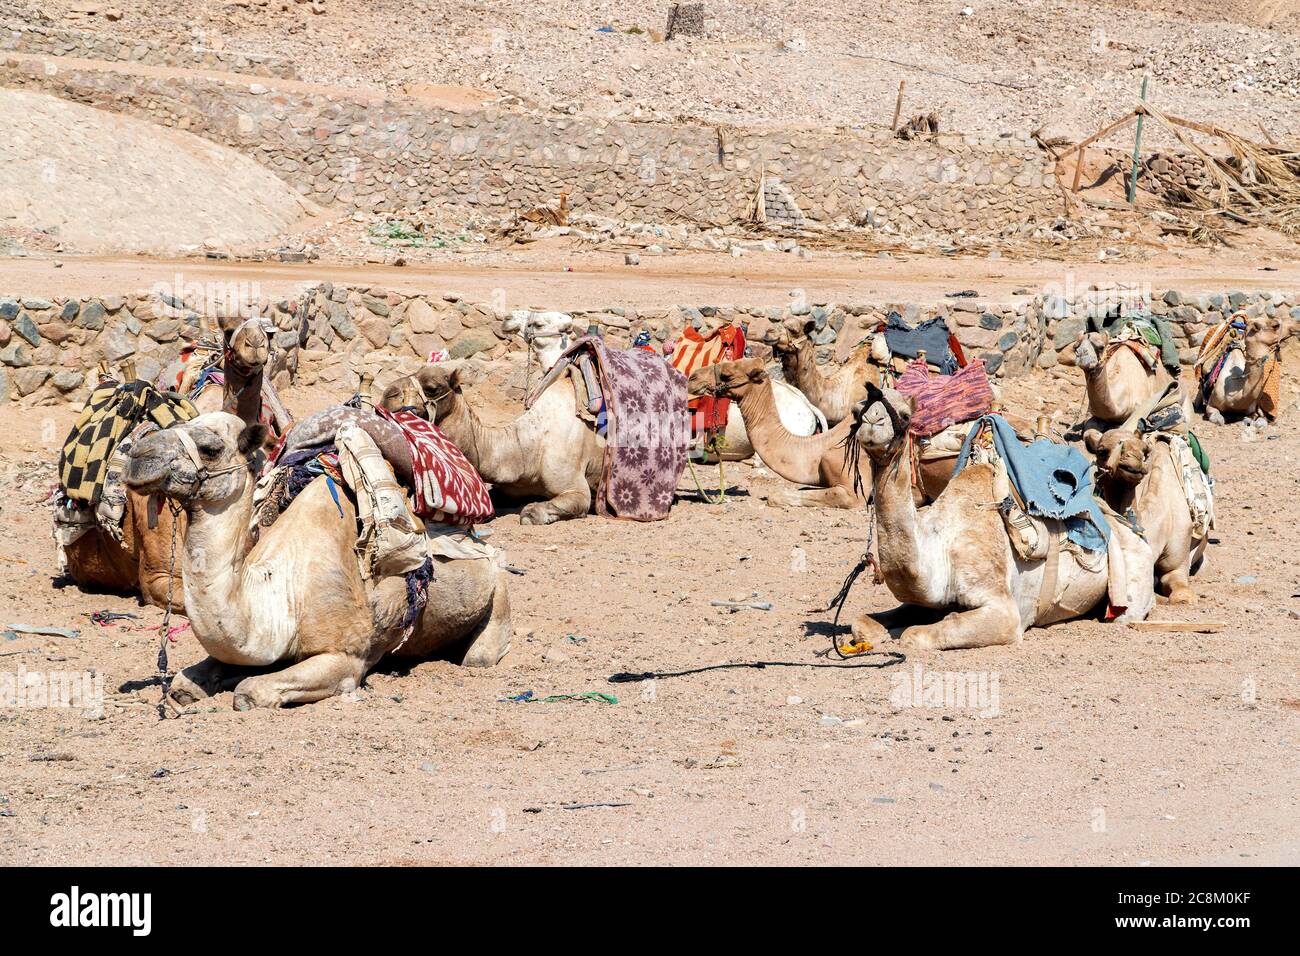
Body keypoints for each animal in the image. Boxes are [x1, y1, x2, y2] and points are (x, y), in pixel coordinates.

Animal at [123, 412, 511, 709]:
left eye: (210, 448)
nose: (136, 455)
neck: (281, 593)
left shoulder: (348, 658)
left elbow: (250, 692)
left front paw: (242, 682)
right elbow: (185, 682)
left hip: (497, 595)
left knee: (479, 654)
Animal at [846, 386, 1154, 650]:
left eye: (906, 415)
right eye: (857, 410)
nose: (873, 421)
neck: (940, 541)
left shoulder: (1003, 610)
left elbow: (915, 634)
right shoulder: (925, 600)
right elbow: (861, 623)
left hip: (1132, 585)